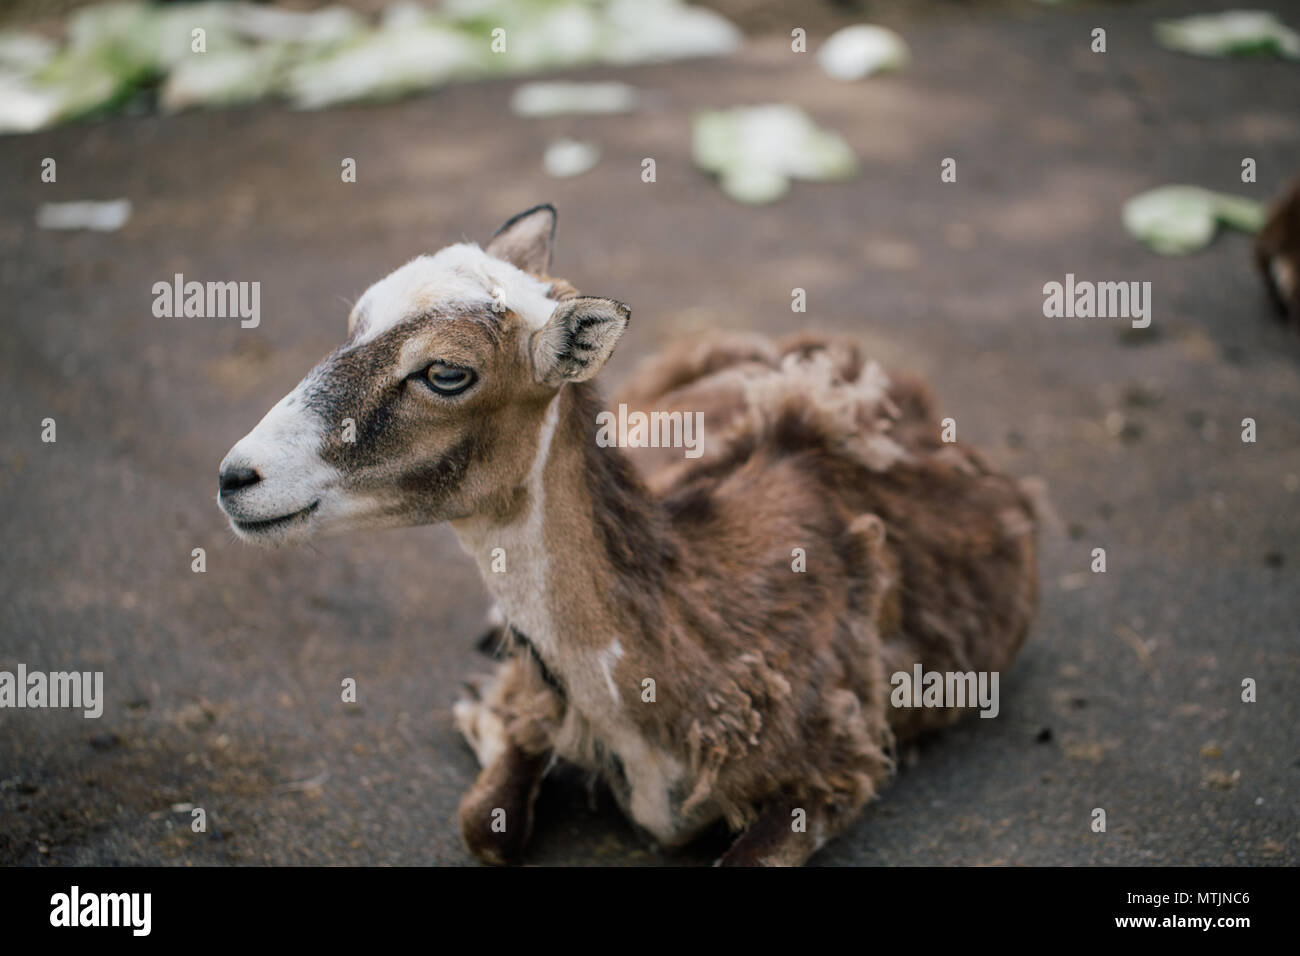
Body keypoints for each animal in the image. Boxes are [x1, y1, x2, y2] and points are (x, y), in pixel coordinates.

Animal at [217, 205, 1039, 866]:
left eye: (446, 372)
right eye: (354, 325)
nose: (236, 476)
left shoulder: (839, 766)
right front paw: (482, 709)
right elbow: (483, 825)